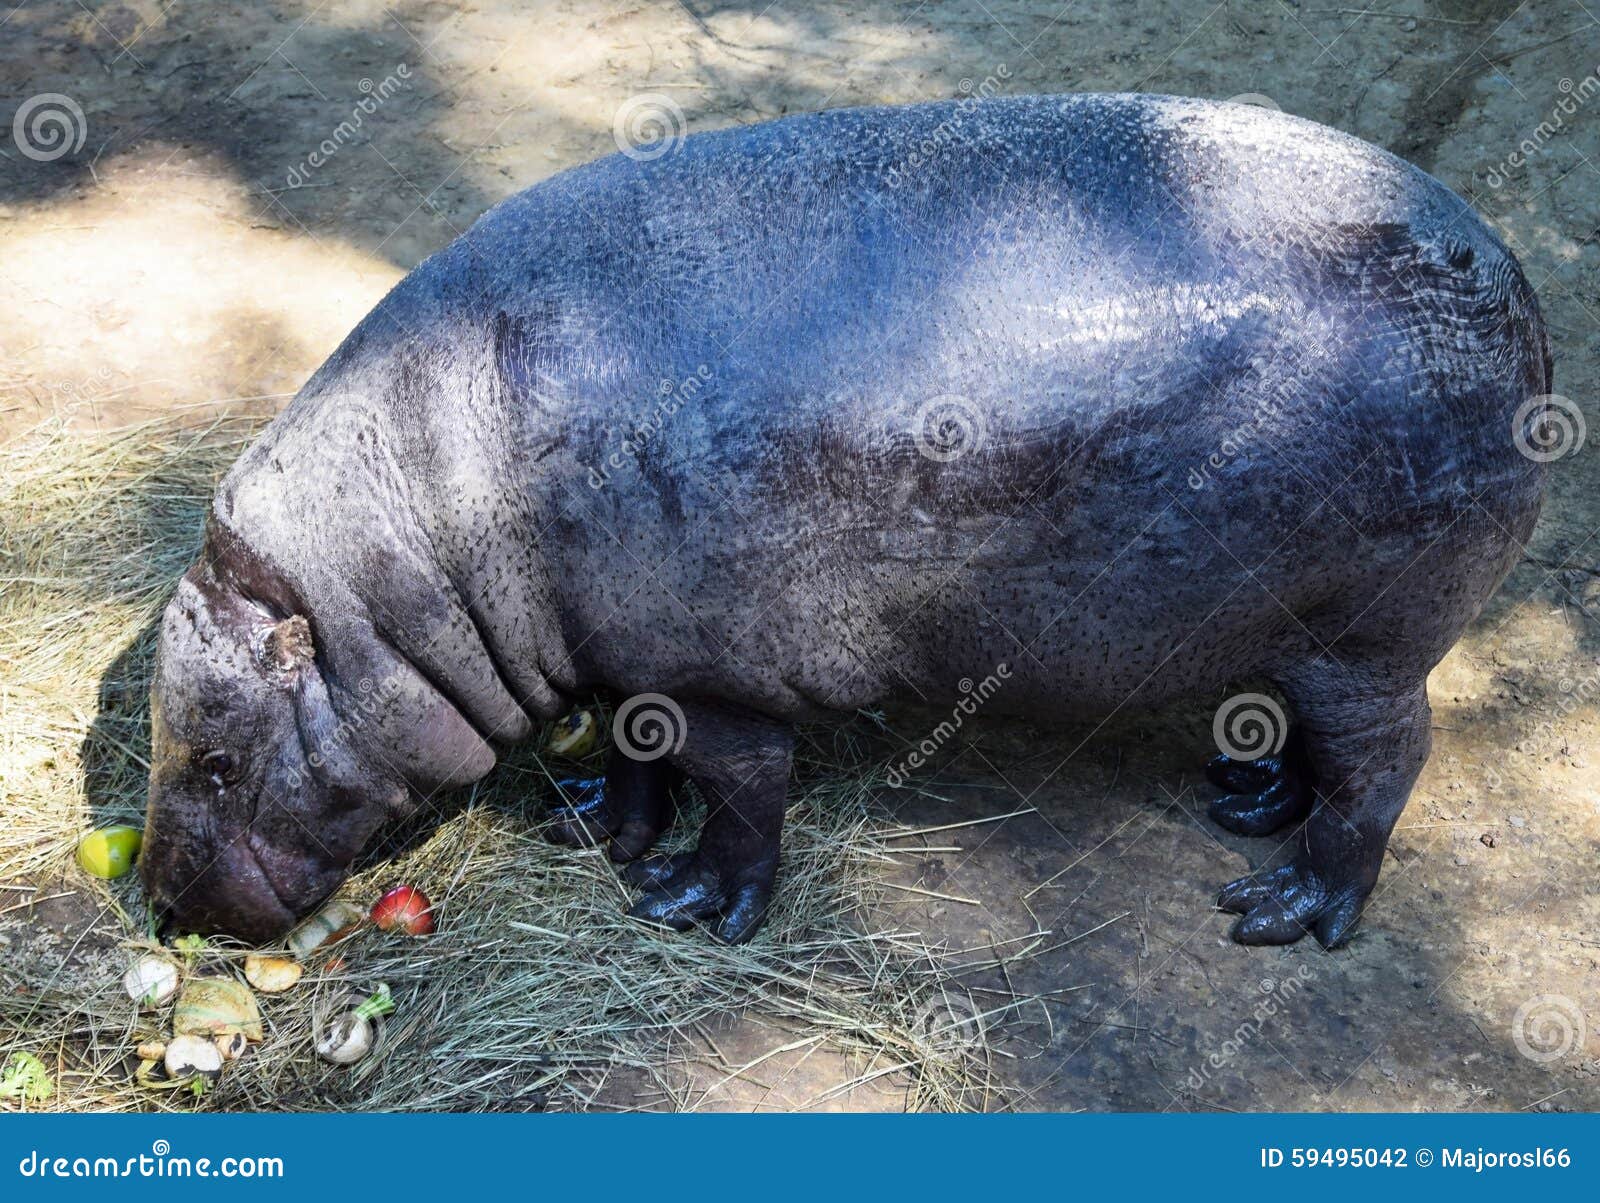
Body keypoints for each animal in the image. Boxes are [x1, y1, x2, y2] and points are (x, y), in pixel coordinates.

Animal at [140, 93, 1550, 950]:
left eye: (211, 760)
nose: (157, 901)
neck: (409, 545)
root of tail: (1506, 268)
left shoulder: (713, 677)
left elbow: (741, 792)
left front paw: (694, 906)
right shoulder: (626, 652)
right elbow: (639, 757)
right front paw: (595, 815)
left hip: (1370, 639)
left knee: (1385, 765)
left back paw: (1282, 907)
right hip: (1306, 641)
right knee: (1315, 745)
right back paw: (1248, 799)